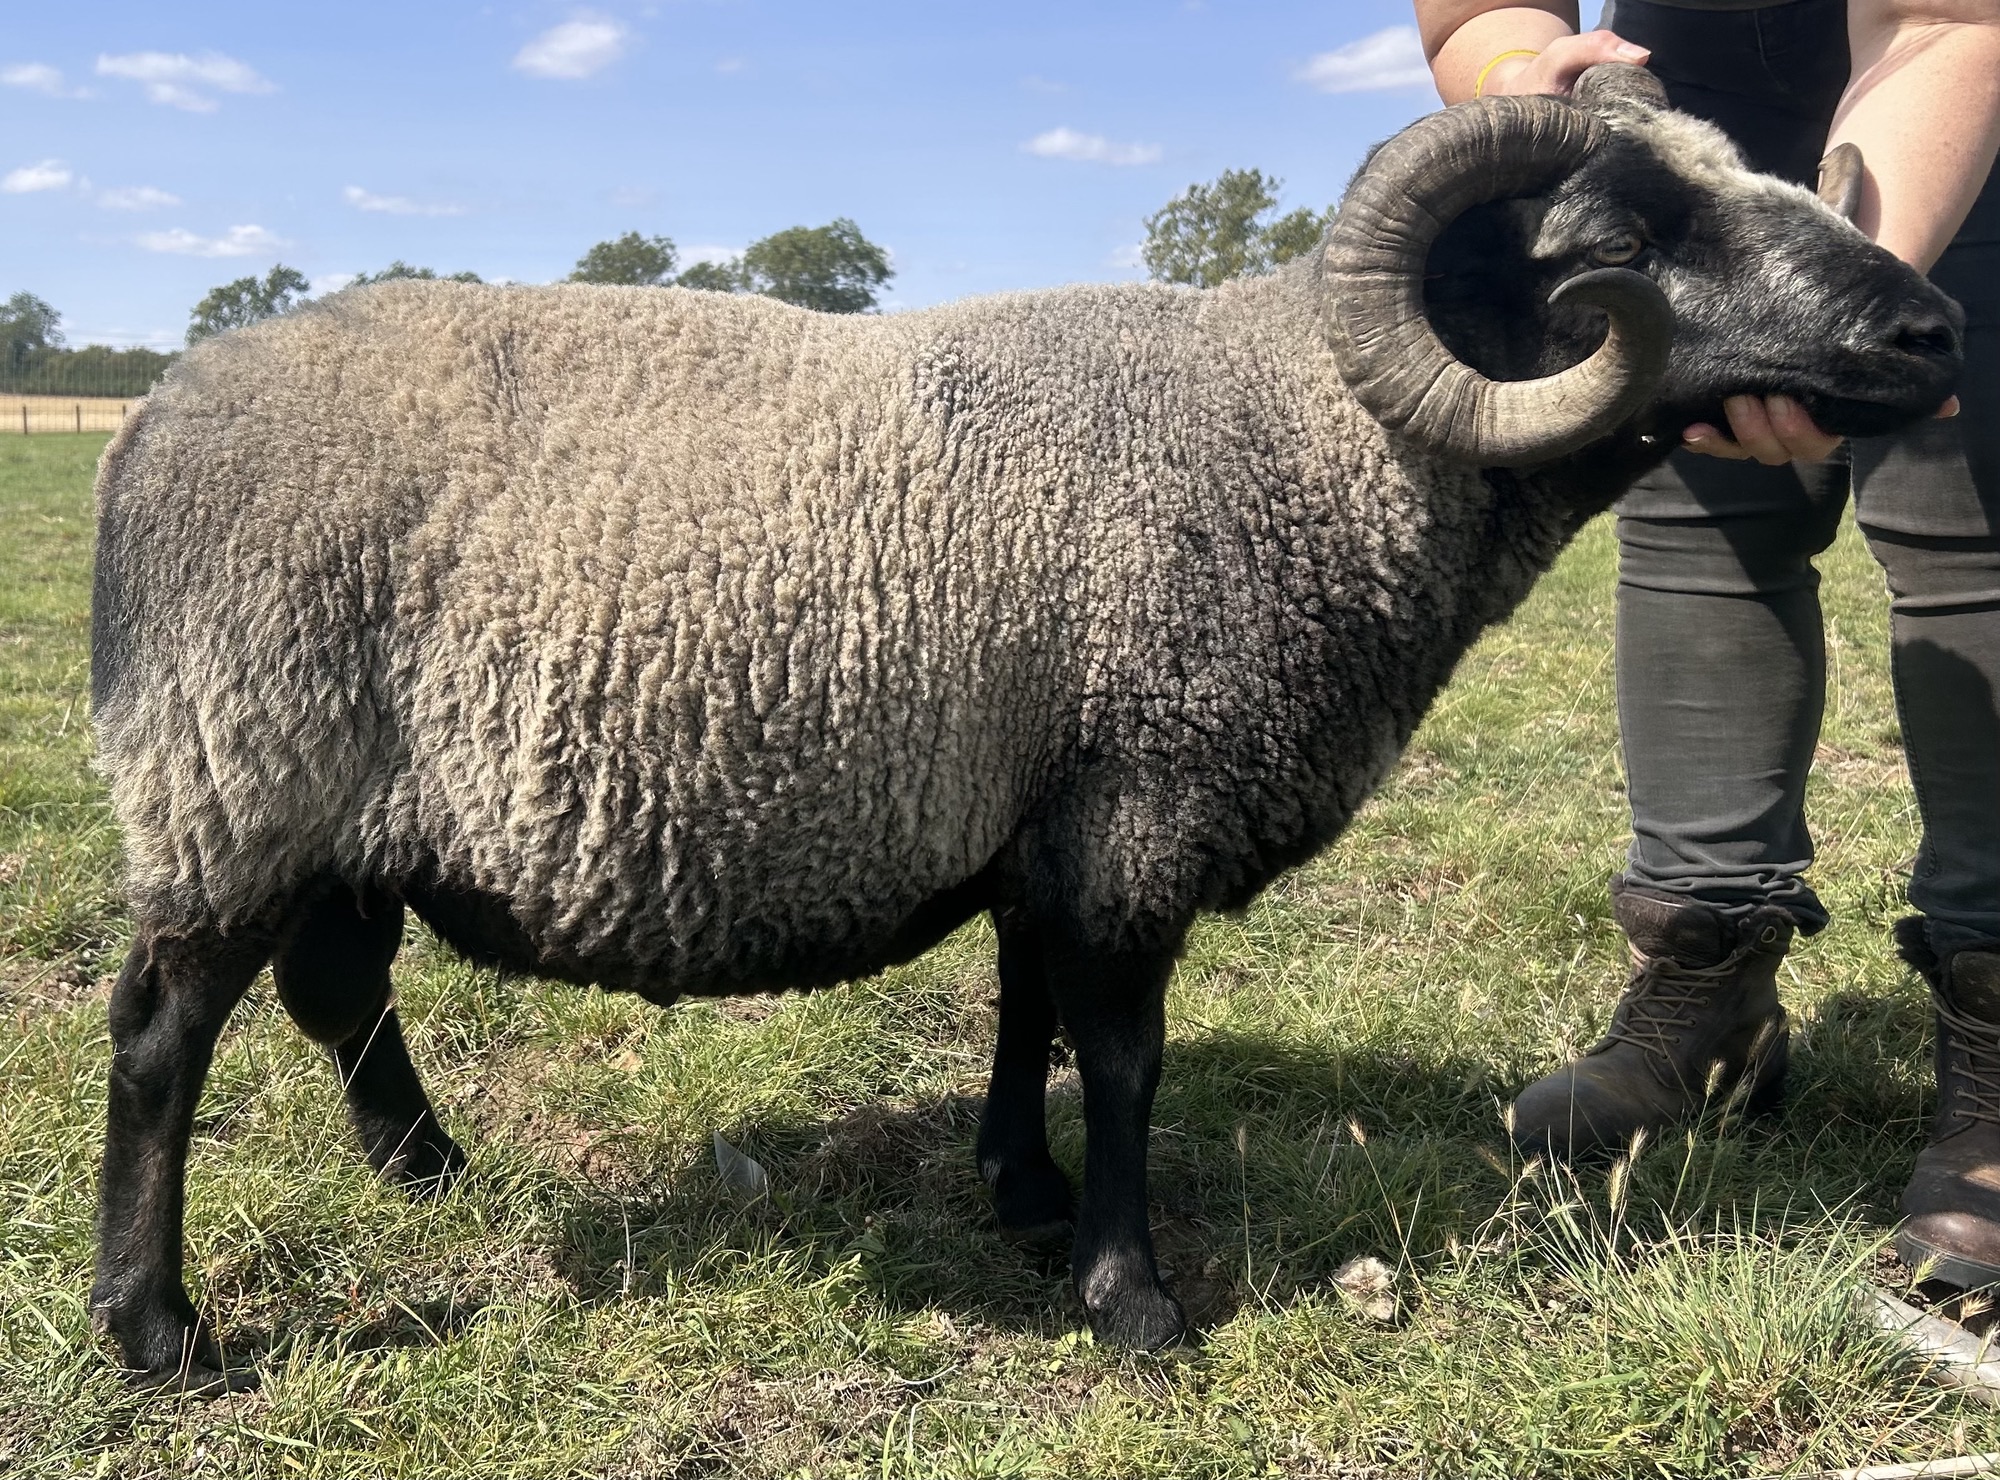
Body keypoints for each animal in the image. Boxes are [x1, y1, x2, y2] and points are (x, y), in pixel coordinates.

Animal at [87, 65, 1960, 1387]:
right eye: (1620, 251)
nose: (1930, 326)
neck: (1309, 444)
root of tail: (158, 412)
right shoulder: (1136, 803)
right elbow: (1123, 1055)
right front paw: (1131, 1299)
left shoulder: (1049, 802)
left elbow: (1024, 1014)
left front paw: (1023, 1191)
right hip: (237, 768)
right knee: (163, 1037)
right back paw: (156, 1326)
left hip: (337, 807)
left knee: (340, 991)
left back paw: (427, 1171)